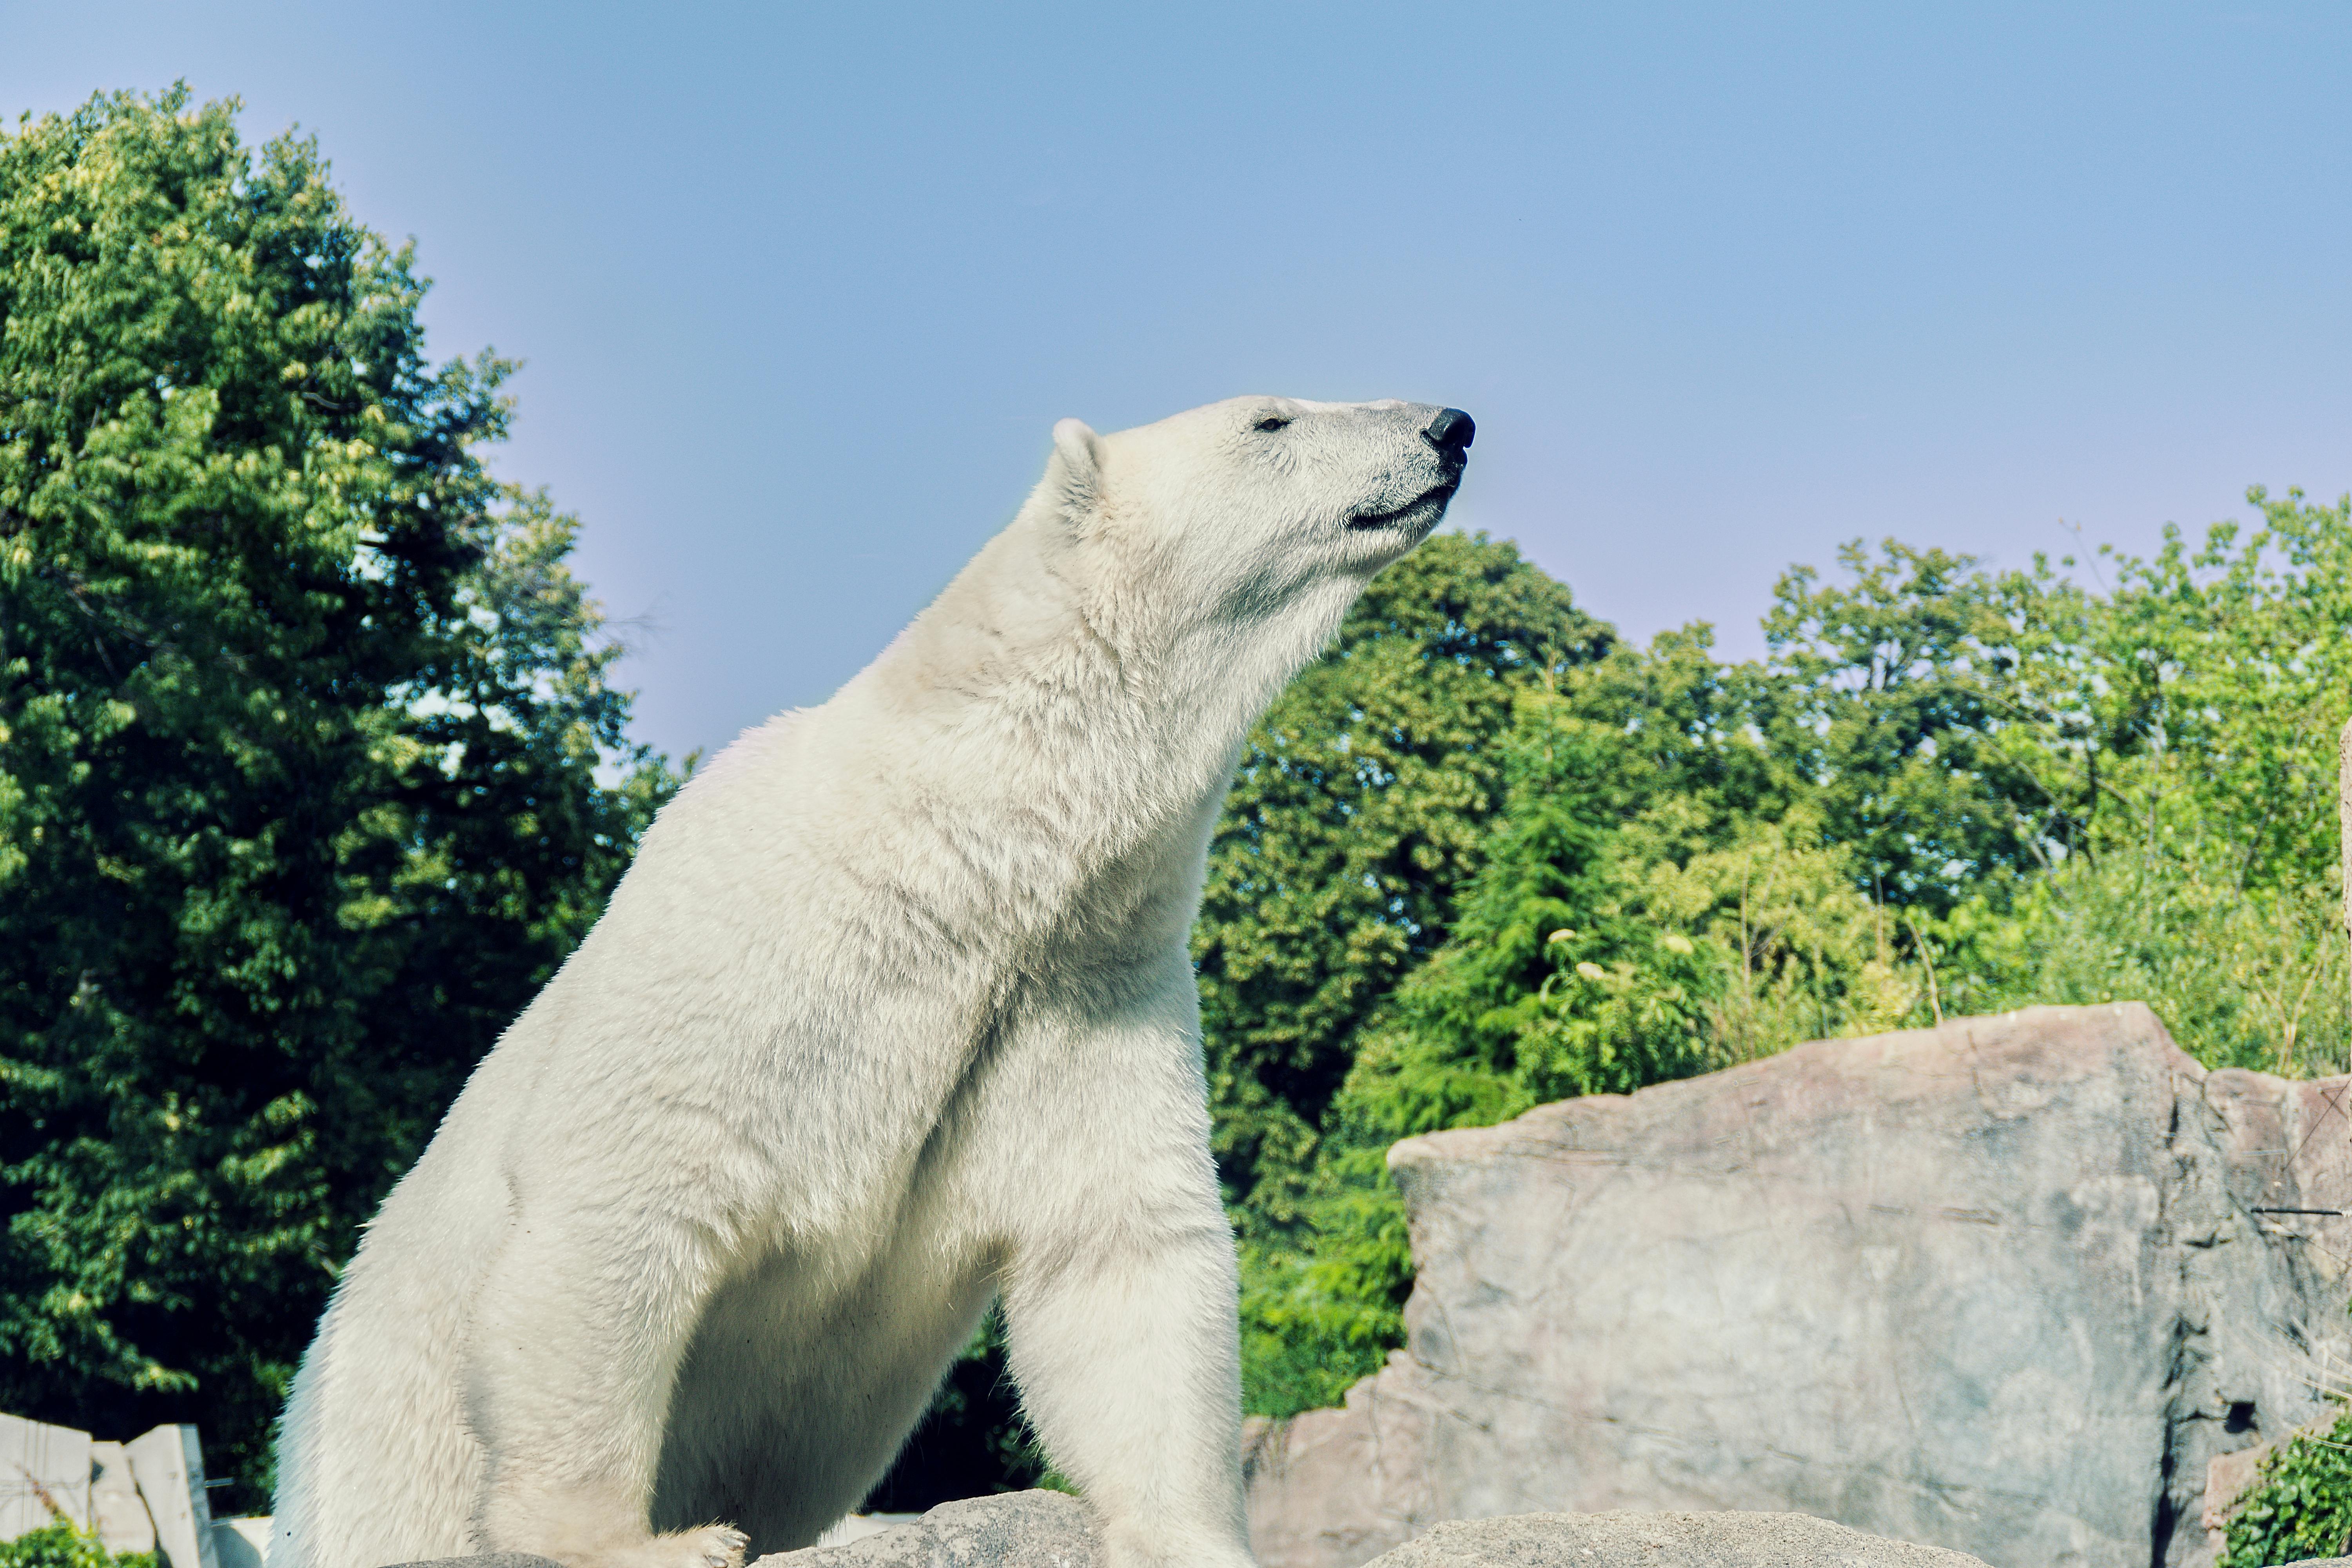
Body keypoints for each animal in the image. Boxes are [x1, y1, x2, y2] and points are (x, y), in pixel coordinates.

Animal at [269, 395, 1475, 1568]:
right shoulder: (747, 957)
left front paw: (1188, 1535)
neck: (959, 852)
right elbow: (622, 1202)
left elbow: (1117, 1244)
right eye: (1272, 421)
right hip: (366, 1462)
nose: (1449, 426)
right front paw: (642, 1540)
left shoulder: (1081, 991)